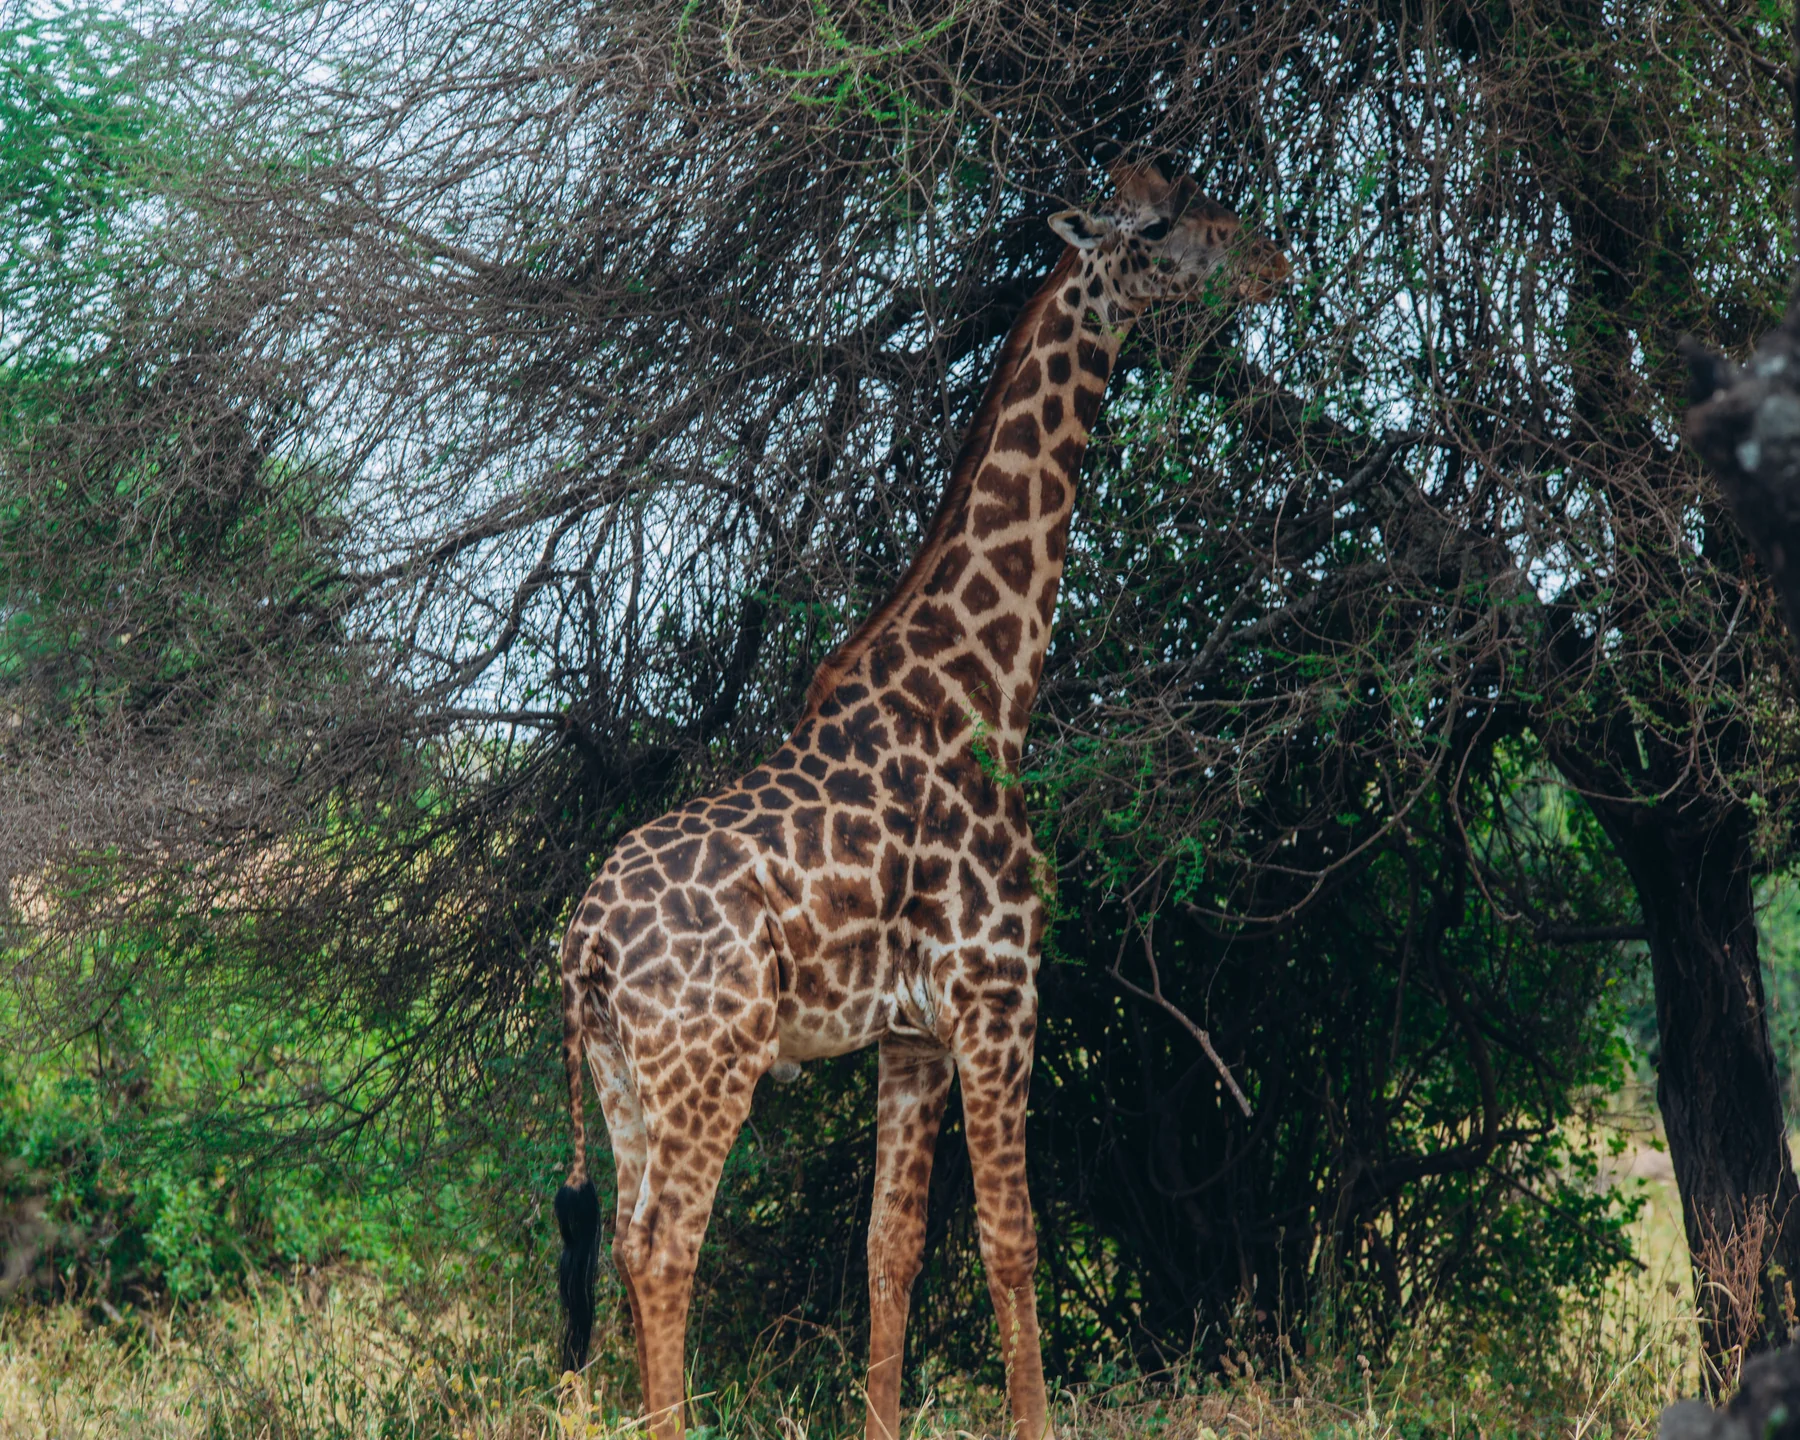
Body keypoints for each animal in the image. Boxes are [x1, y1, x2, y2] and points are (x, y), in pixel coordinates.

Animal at [553, 157, 1289, 1440]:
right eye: (1157, 227)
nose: (1270, 262)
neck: (985, 687)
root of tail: (584, 943)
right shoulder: (998, 996)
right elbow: (1011, 1242)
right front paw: (1036, 1425)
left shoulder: (907, 1034)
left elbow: (889, 1252)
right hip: (709, 1066)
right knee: (663, 1248)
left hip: (624, 1077)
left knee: (636, 1244)